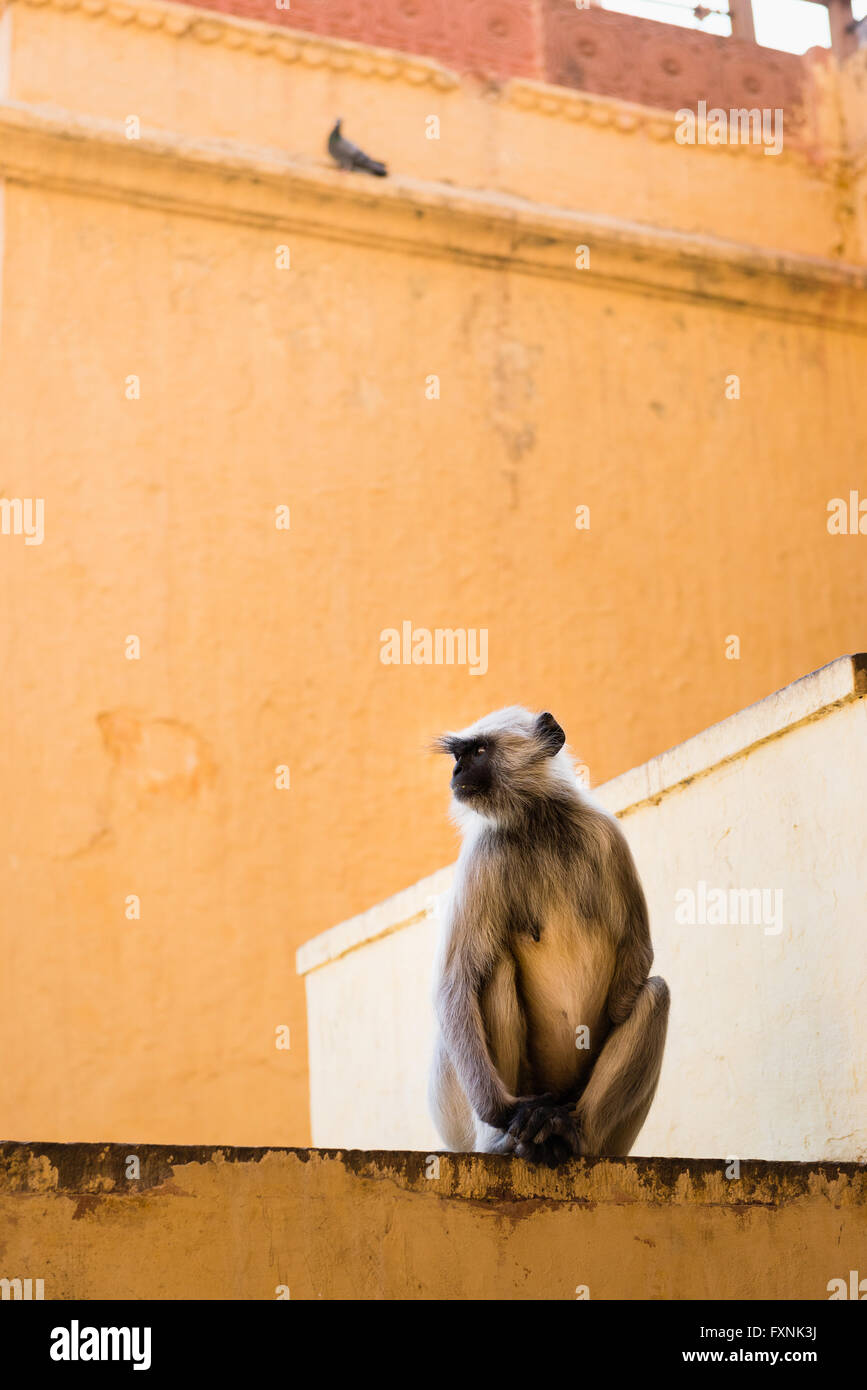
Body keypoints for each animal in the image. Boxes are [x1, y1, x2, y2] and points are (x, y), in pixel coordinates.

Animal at [428, 706, 669, 1166]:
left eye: (478, 751)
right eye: (461, 754)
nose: (456, 770)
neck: (538, 822)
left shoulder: (607, 835)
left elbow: (637, 956)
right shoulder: (483, 855)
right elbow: (455, 984)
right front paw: (506, 1114)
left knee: (655, 992)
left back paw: (570, 1131)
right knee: (492, 971)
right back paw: (505, 1138)